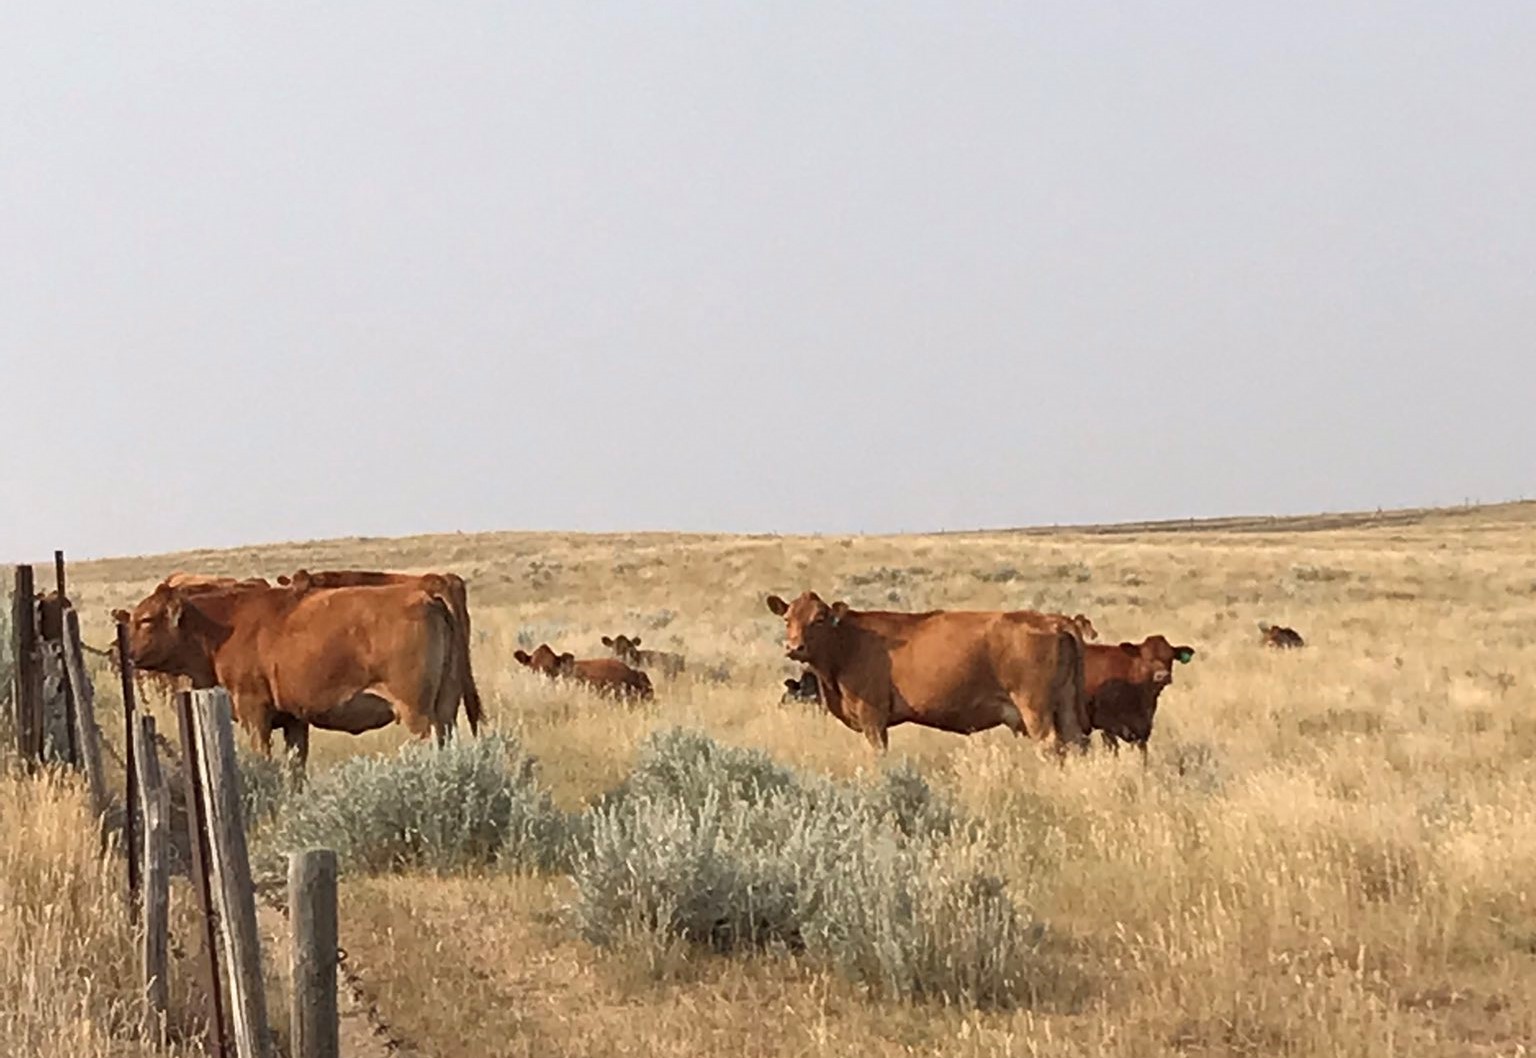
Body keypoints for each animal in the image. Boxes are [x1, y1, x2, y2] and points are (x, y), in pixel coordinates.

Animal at [113, 579, 462, 779]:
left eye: (146, 620)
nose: (126, 653)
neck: (221, 628)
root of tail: (424, 595)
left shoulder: (253, 710)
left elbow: (263, 755)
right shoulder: (295, 719)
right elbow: (295, 765)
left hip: (414, 712)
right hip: (444, 709)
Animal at [764, 592, 1087, 753]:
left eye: (819, 619)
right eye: (787, 618)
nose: (794, 646)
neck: (849, 642)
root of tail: (1055, 621)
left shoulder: (873, 717)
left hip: (1035, 708)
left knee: (1051, 745)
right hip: (1065, 706)